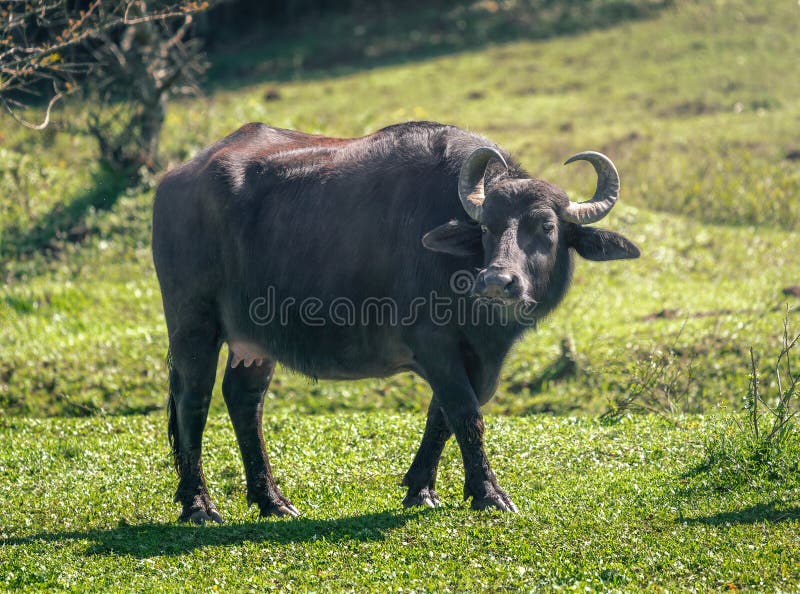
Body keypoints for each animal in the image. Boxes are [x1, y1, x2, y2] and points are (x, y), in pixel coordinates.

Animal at [152, 121, 639, 523]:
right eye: (487, 228)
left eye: (547, 228)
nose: (497, 281)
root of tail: (176, 178)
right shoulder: (434, 345)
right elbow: (466, 413)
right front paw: (488, 493)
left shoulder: (479, 358)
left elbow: (442, 416)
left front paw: (421, 489)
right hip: (193, 325)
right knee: (193, 402)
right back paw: (198, 505)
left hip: (254, 343)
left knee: (244, 400)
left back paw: (271, 500)